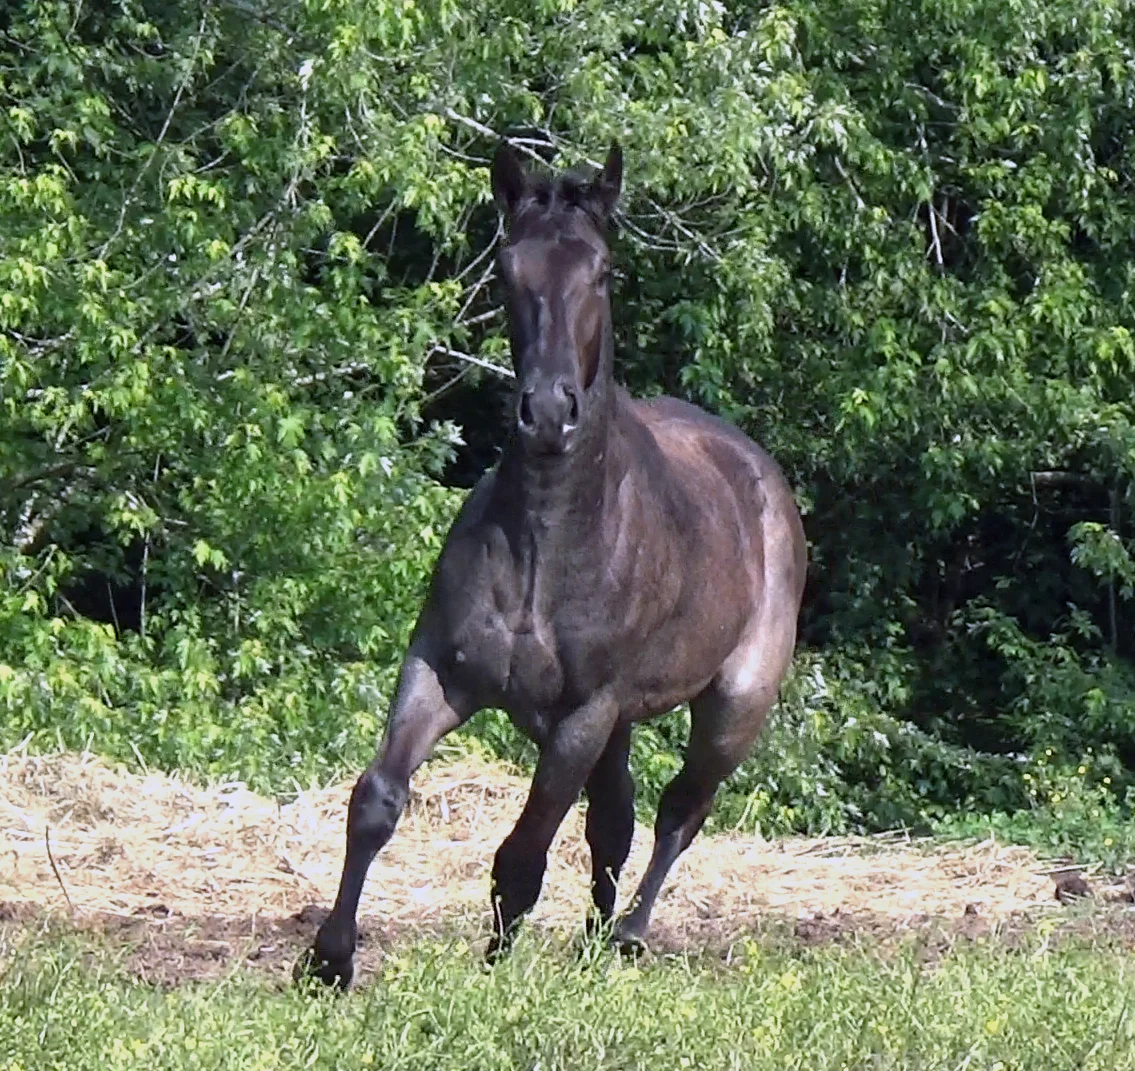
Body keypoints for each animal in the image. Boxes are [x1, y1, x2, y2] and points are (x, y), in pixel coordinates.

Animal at [298, 142, 807, 989]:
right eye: (509, 267)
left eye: (601, 270)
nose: (546, 412)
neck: (549, 540)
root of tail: (762, 476)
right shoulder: (439, 670)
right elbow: (377, 799)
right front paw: (327, 961)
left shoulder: (581, 715)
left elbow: (525, 851)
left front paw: (493, 973)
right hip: (623, 723)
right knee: (615, 821)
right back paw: (594, 939)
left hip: (732, 705)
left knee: (678, 811)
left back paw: (626, 934)